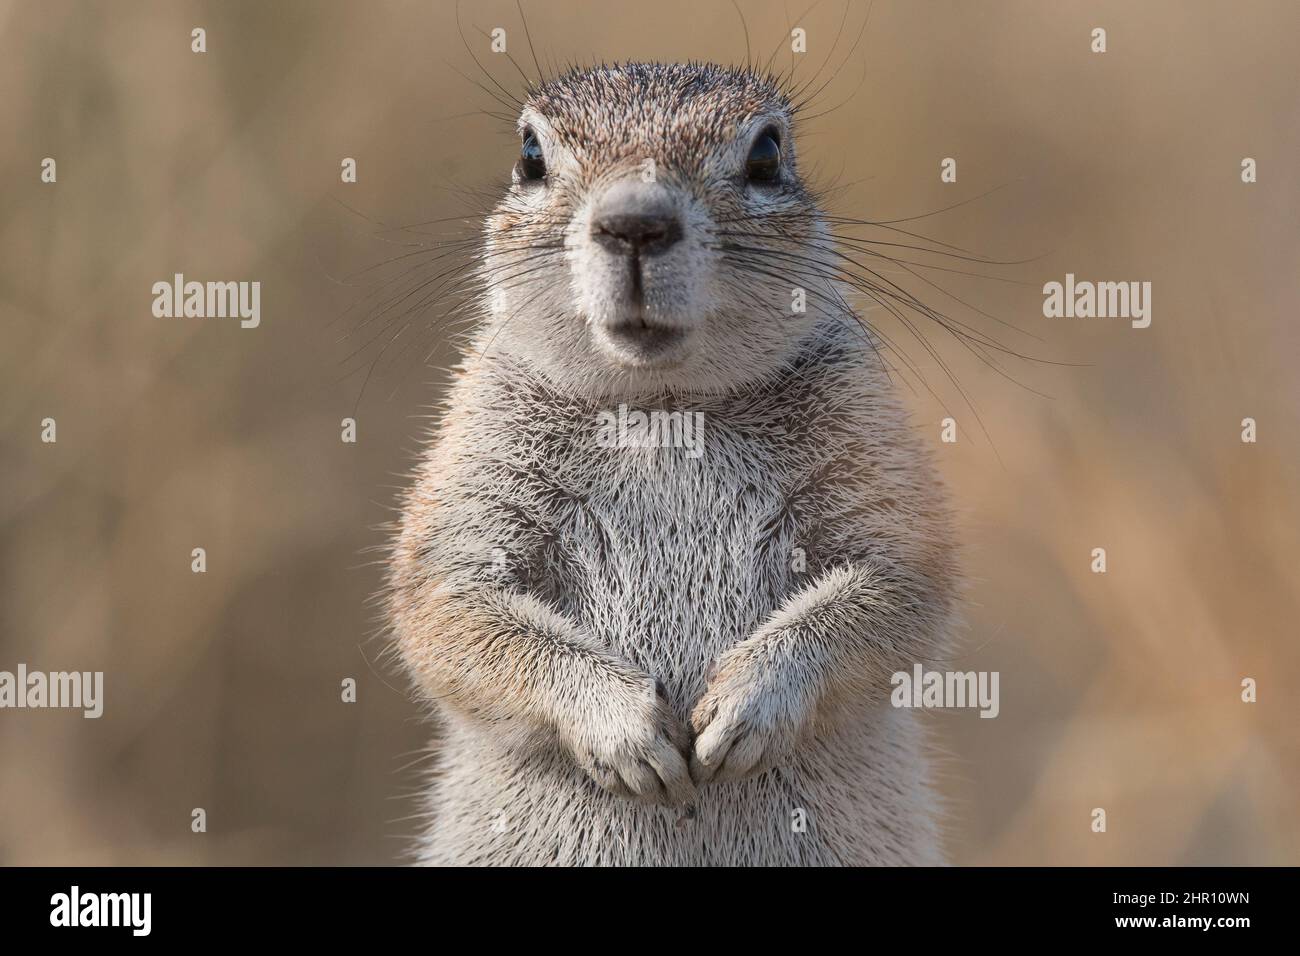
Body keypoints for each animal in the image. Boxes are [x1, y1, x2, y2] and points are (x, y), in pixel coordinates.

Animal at [388, 62, 959, 865]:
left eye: (767, 154)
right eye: (530, 155)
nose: (635, 223)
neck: (665, 408)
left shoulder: (873, 457)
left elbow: (898, 590)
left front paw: (747, 707)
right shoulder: (472, 464)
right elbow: (448, 609)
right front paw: (623, 729)